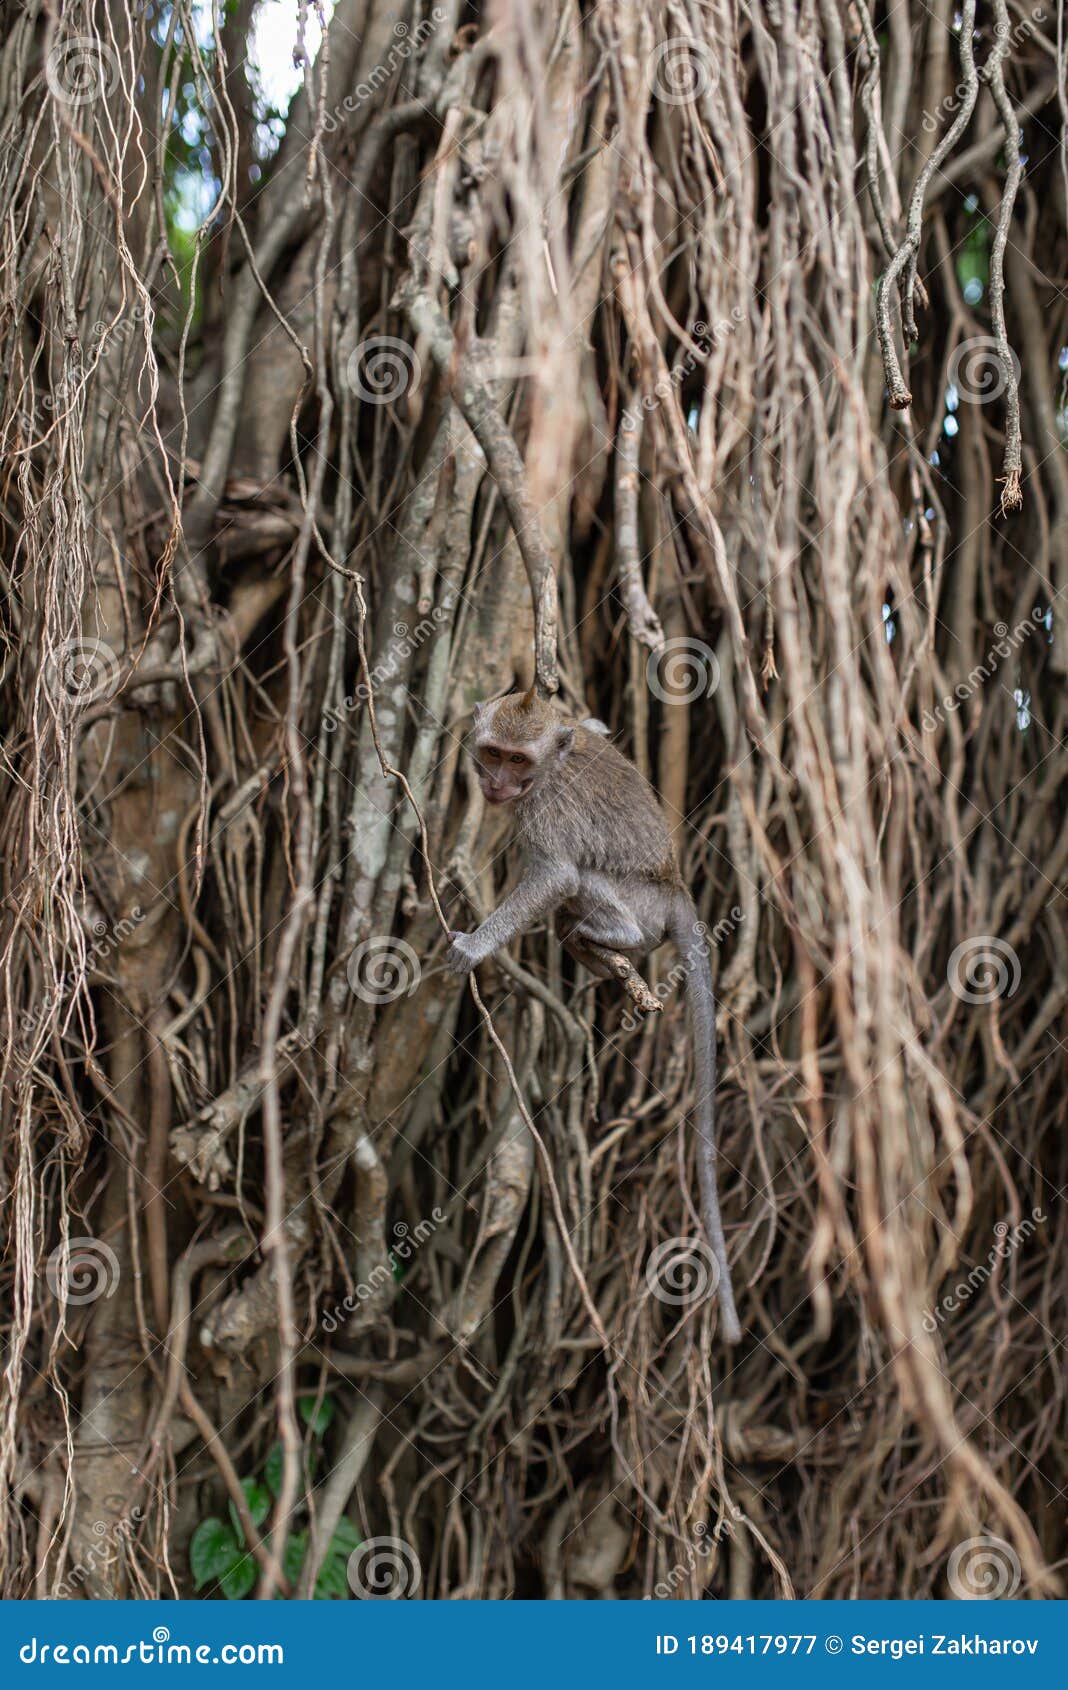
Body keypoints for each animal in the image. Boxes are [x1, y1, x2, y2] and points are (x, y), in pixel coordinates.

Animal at [445, 688, 742, 1344]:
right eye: (492, 753)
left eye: (517, 761)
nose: (496, 784)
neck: (546, 770)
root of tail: (676, 887)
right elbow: (591, 725)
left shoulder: (544, 811)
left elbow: (555, 874)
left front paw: (476, 947)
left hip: (640, 905)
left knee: (584, 883)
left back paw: (609, 937)